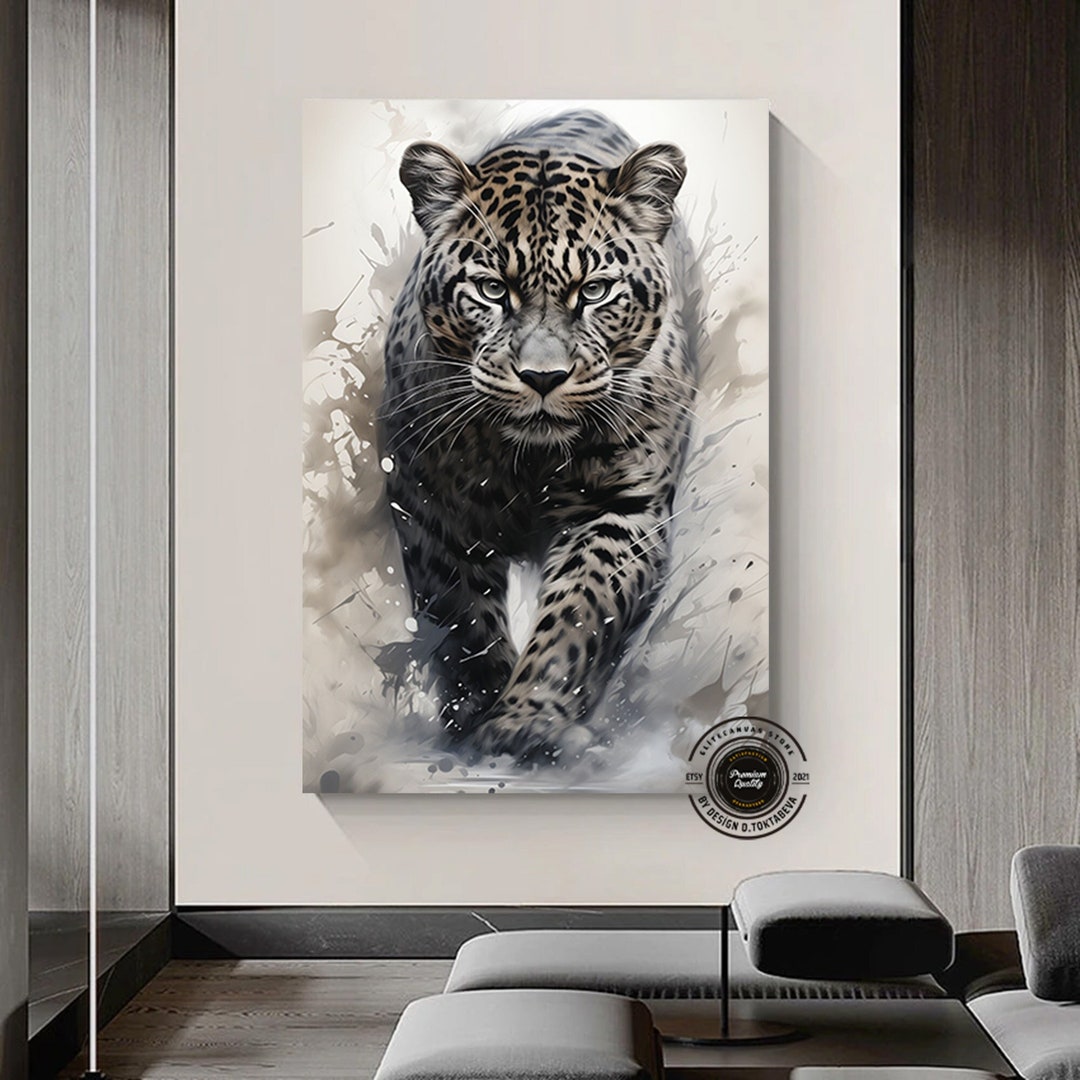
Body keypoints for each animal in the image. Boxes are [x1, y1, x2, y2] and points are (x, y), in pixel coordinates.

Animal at [378, 109, 699, 767]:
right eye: (493, 290)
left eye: (595, 291)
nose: (544, 377)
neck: (528, 464)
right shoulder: (430, 510)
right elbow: (463, 620)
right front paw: (477, 713)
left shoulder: (623, 509)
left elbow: (578, 613)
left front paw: (527, 721)